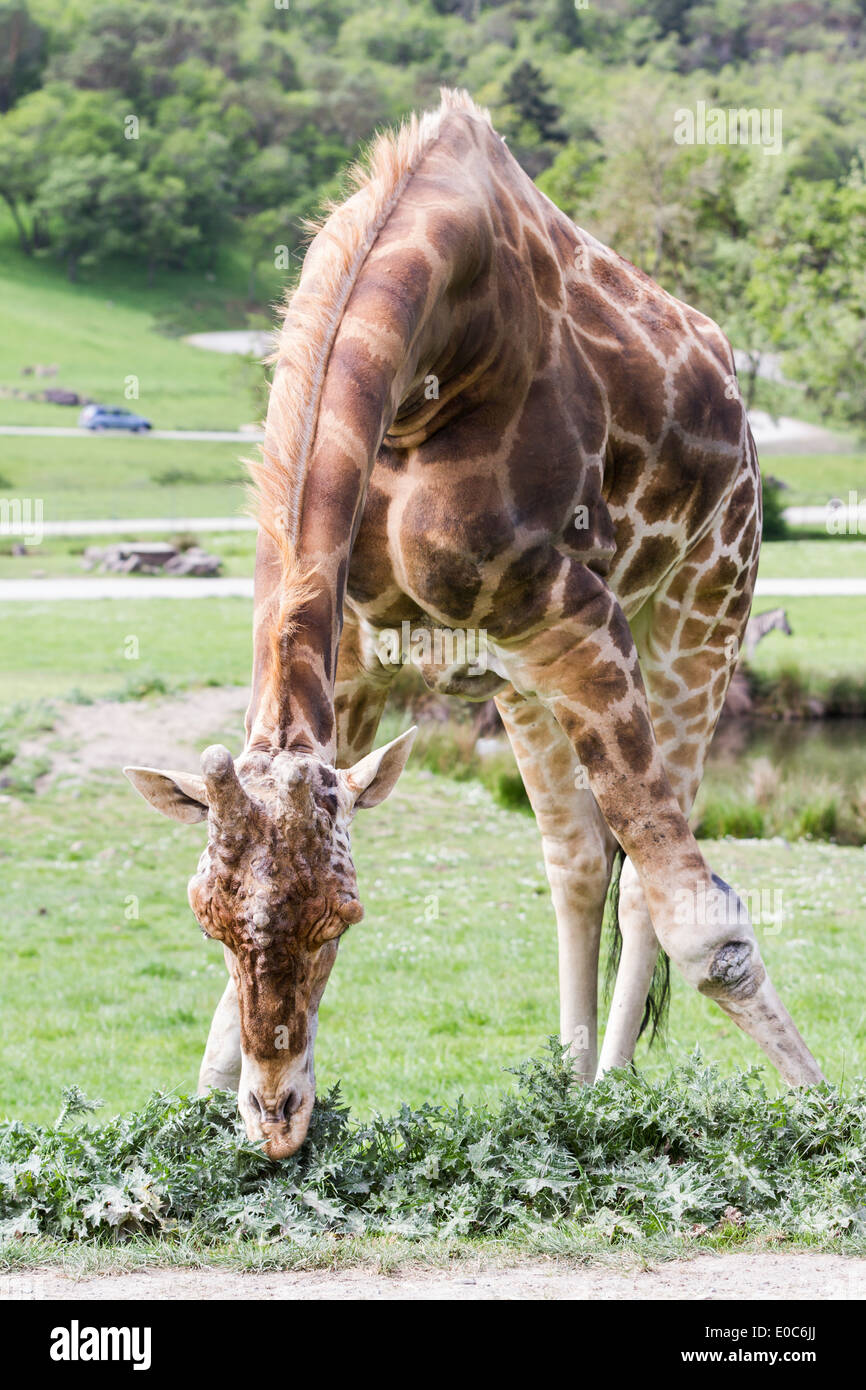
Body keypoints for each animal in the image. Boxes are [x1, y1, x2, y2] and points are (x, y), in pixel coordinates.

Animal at [125, 91, 824, 1158]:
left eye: (345, 919)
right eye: (205, 920)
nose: (281, 1120)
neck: (432, 369)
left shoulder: (582, 618)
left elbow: (709, 929)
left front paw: (826, 1114)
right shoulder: (355, 667)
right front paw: (214, 1119)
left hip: (706, 602)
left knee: (650, 887)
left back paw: (620, 1094)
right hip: (523, 686)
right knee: (577, 861)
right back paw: (573, 1096)